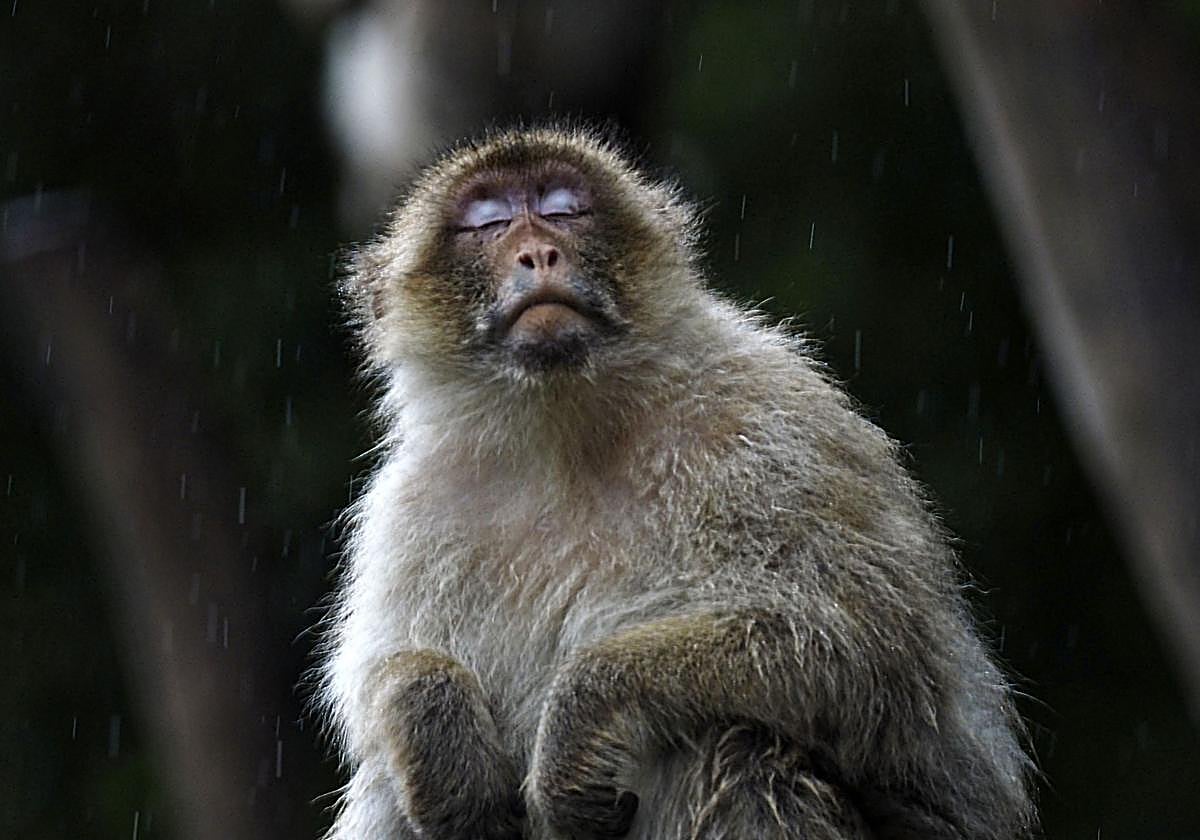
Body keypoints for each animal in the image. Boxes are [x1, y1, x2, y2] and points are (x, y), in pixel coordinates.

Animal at [317, 125, 1037, 840]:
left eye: (563, 209)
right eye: (487, 223)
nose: (538, 252)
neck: (565, 429)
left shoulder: (773, 423)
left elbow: (861, 651)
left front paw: (586, 706)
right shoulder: (409, 503)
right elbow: (374, 688)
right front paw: (428, 709)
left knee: (738, 743)